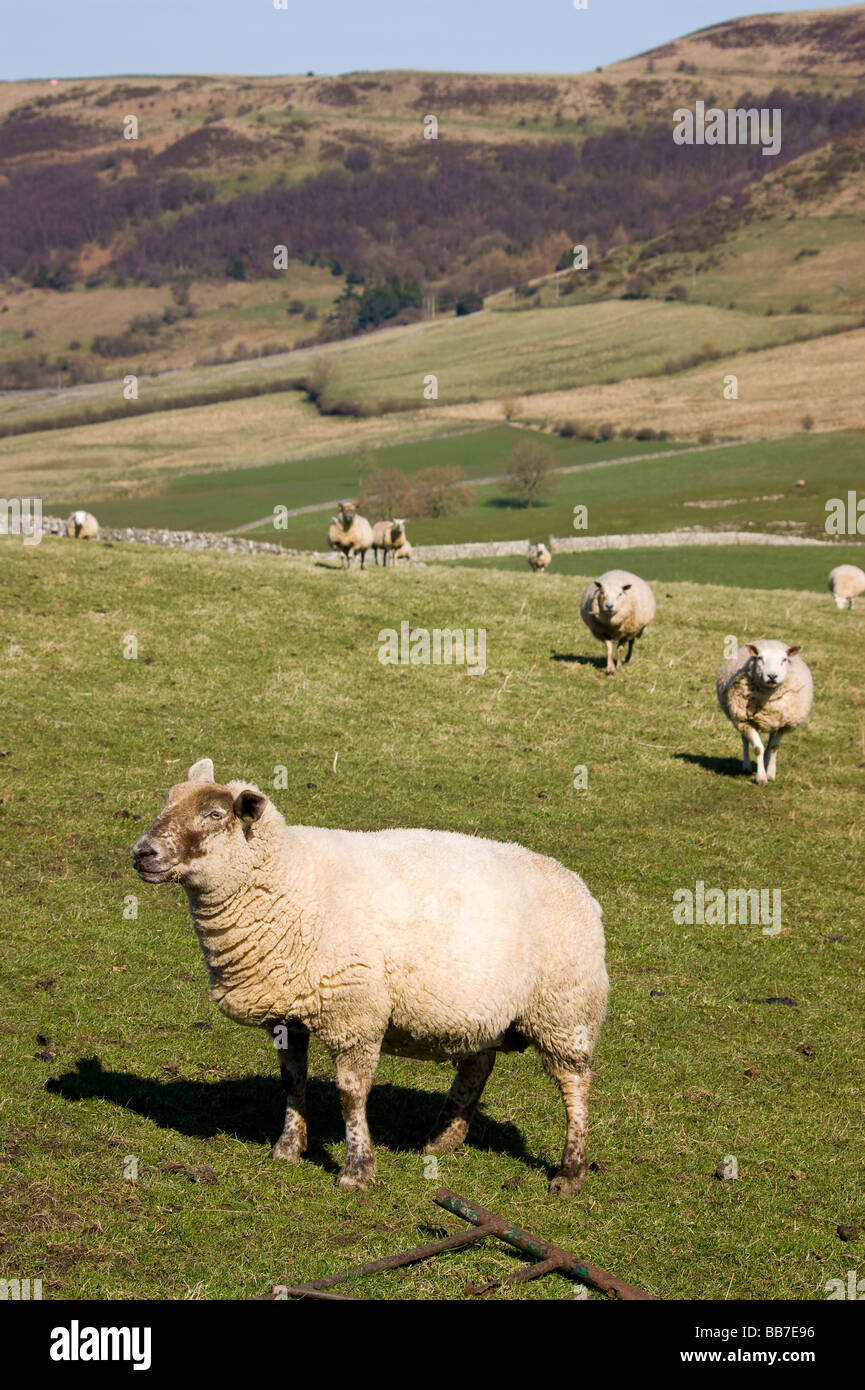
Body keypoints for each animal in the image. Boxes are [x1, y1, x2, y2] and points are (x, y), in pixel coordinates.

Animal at [132, 758, 609, 1196]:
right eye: (169, 800)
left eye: (215, 814)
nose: (141, 853)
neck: (290, 880)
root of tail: (578, 886)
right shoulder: (288, 1015)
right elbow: (292, 1081)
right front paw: (288, 1149)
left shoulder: (354, 1014)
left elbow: (351, 1095)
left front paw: (356, 1170)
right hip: (487, 1008)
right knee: (478, 1065)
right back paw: (441, 1141)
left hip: (566, 1010)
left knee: (576, 1086)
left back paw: (570, 1173)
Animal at [716, 640, 813, 786]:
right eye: (760, 658)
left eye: (784, 659)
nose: (772, 676)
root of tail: (770, 640)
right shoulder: (746, 721)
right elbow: (758, 749)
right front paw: (761, 778)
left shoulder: (782, 725)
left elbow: (773, 748)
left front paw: (770, 774)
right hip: (740, 720)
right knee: (745, 741)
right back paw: (747, 767)